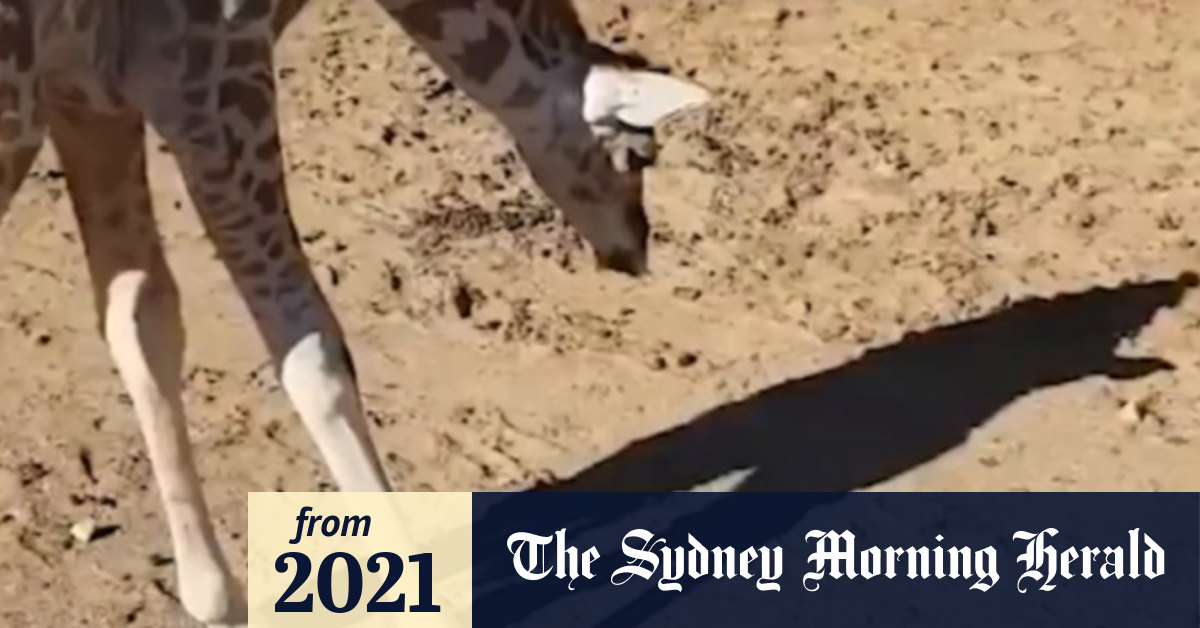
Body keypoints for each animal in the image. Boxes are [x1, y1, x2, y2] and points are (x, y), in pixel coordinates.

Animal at [0, 0, 710, 624]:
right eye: (639, 155)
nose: (634, 248)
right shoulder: (216, 74)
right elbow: (312, 356)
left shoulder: (88, 95)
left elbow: (140, 321)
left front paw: (214, 599)